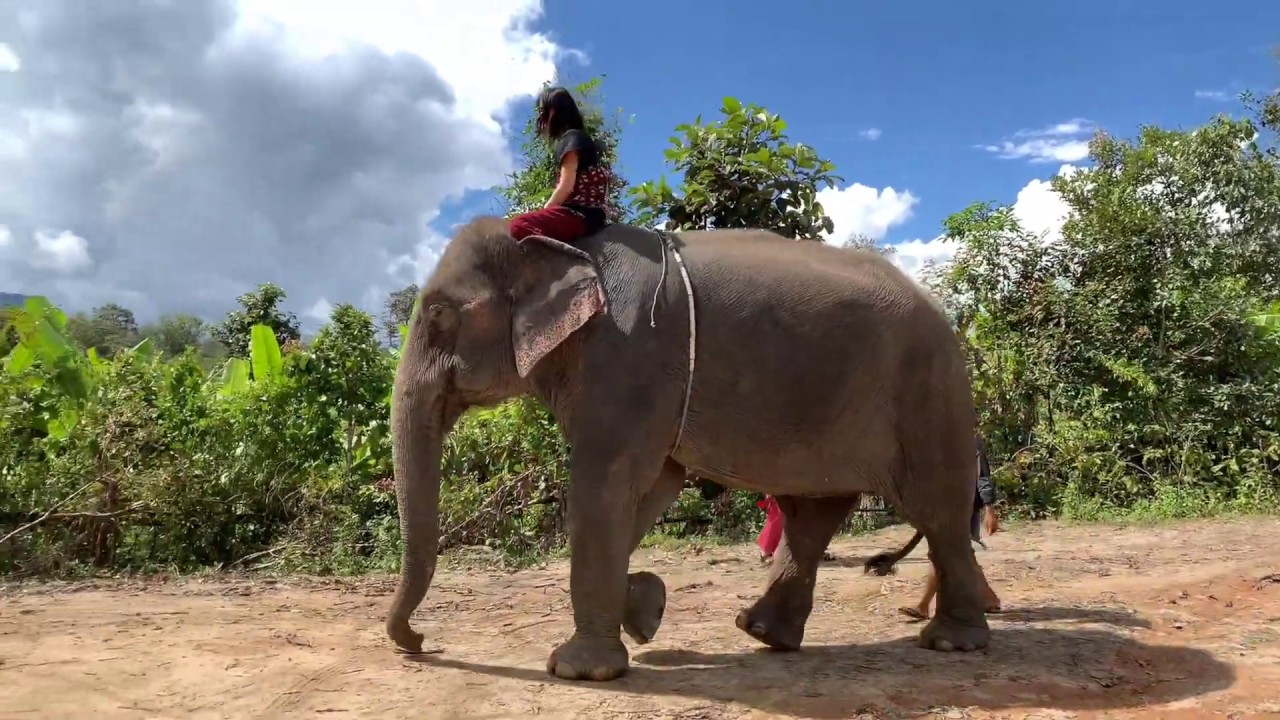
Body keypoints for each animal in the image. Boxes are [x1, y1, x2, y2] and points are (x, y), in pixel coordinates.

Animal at [384, 216, 992, 682]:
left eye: (438, 313)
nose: (420, 643)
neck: (557, 244)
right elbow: (653, 486)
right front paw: (645, 610)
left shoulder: (631, 354)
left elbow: (603, 486)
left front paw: (580, 669)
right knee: (812, 515)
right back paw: (763, 633)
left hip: (928, 394)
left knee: (937, 510)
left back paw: (952, 641)